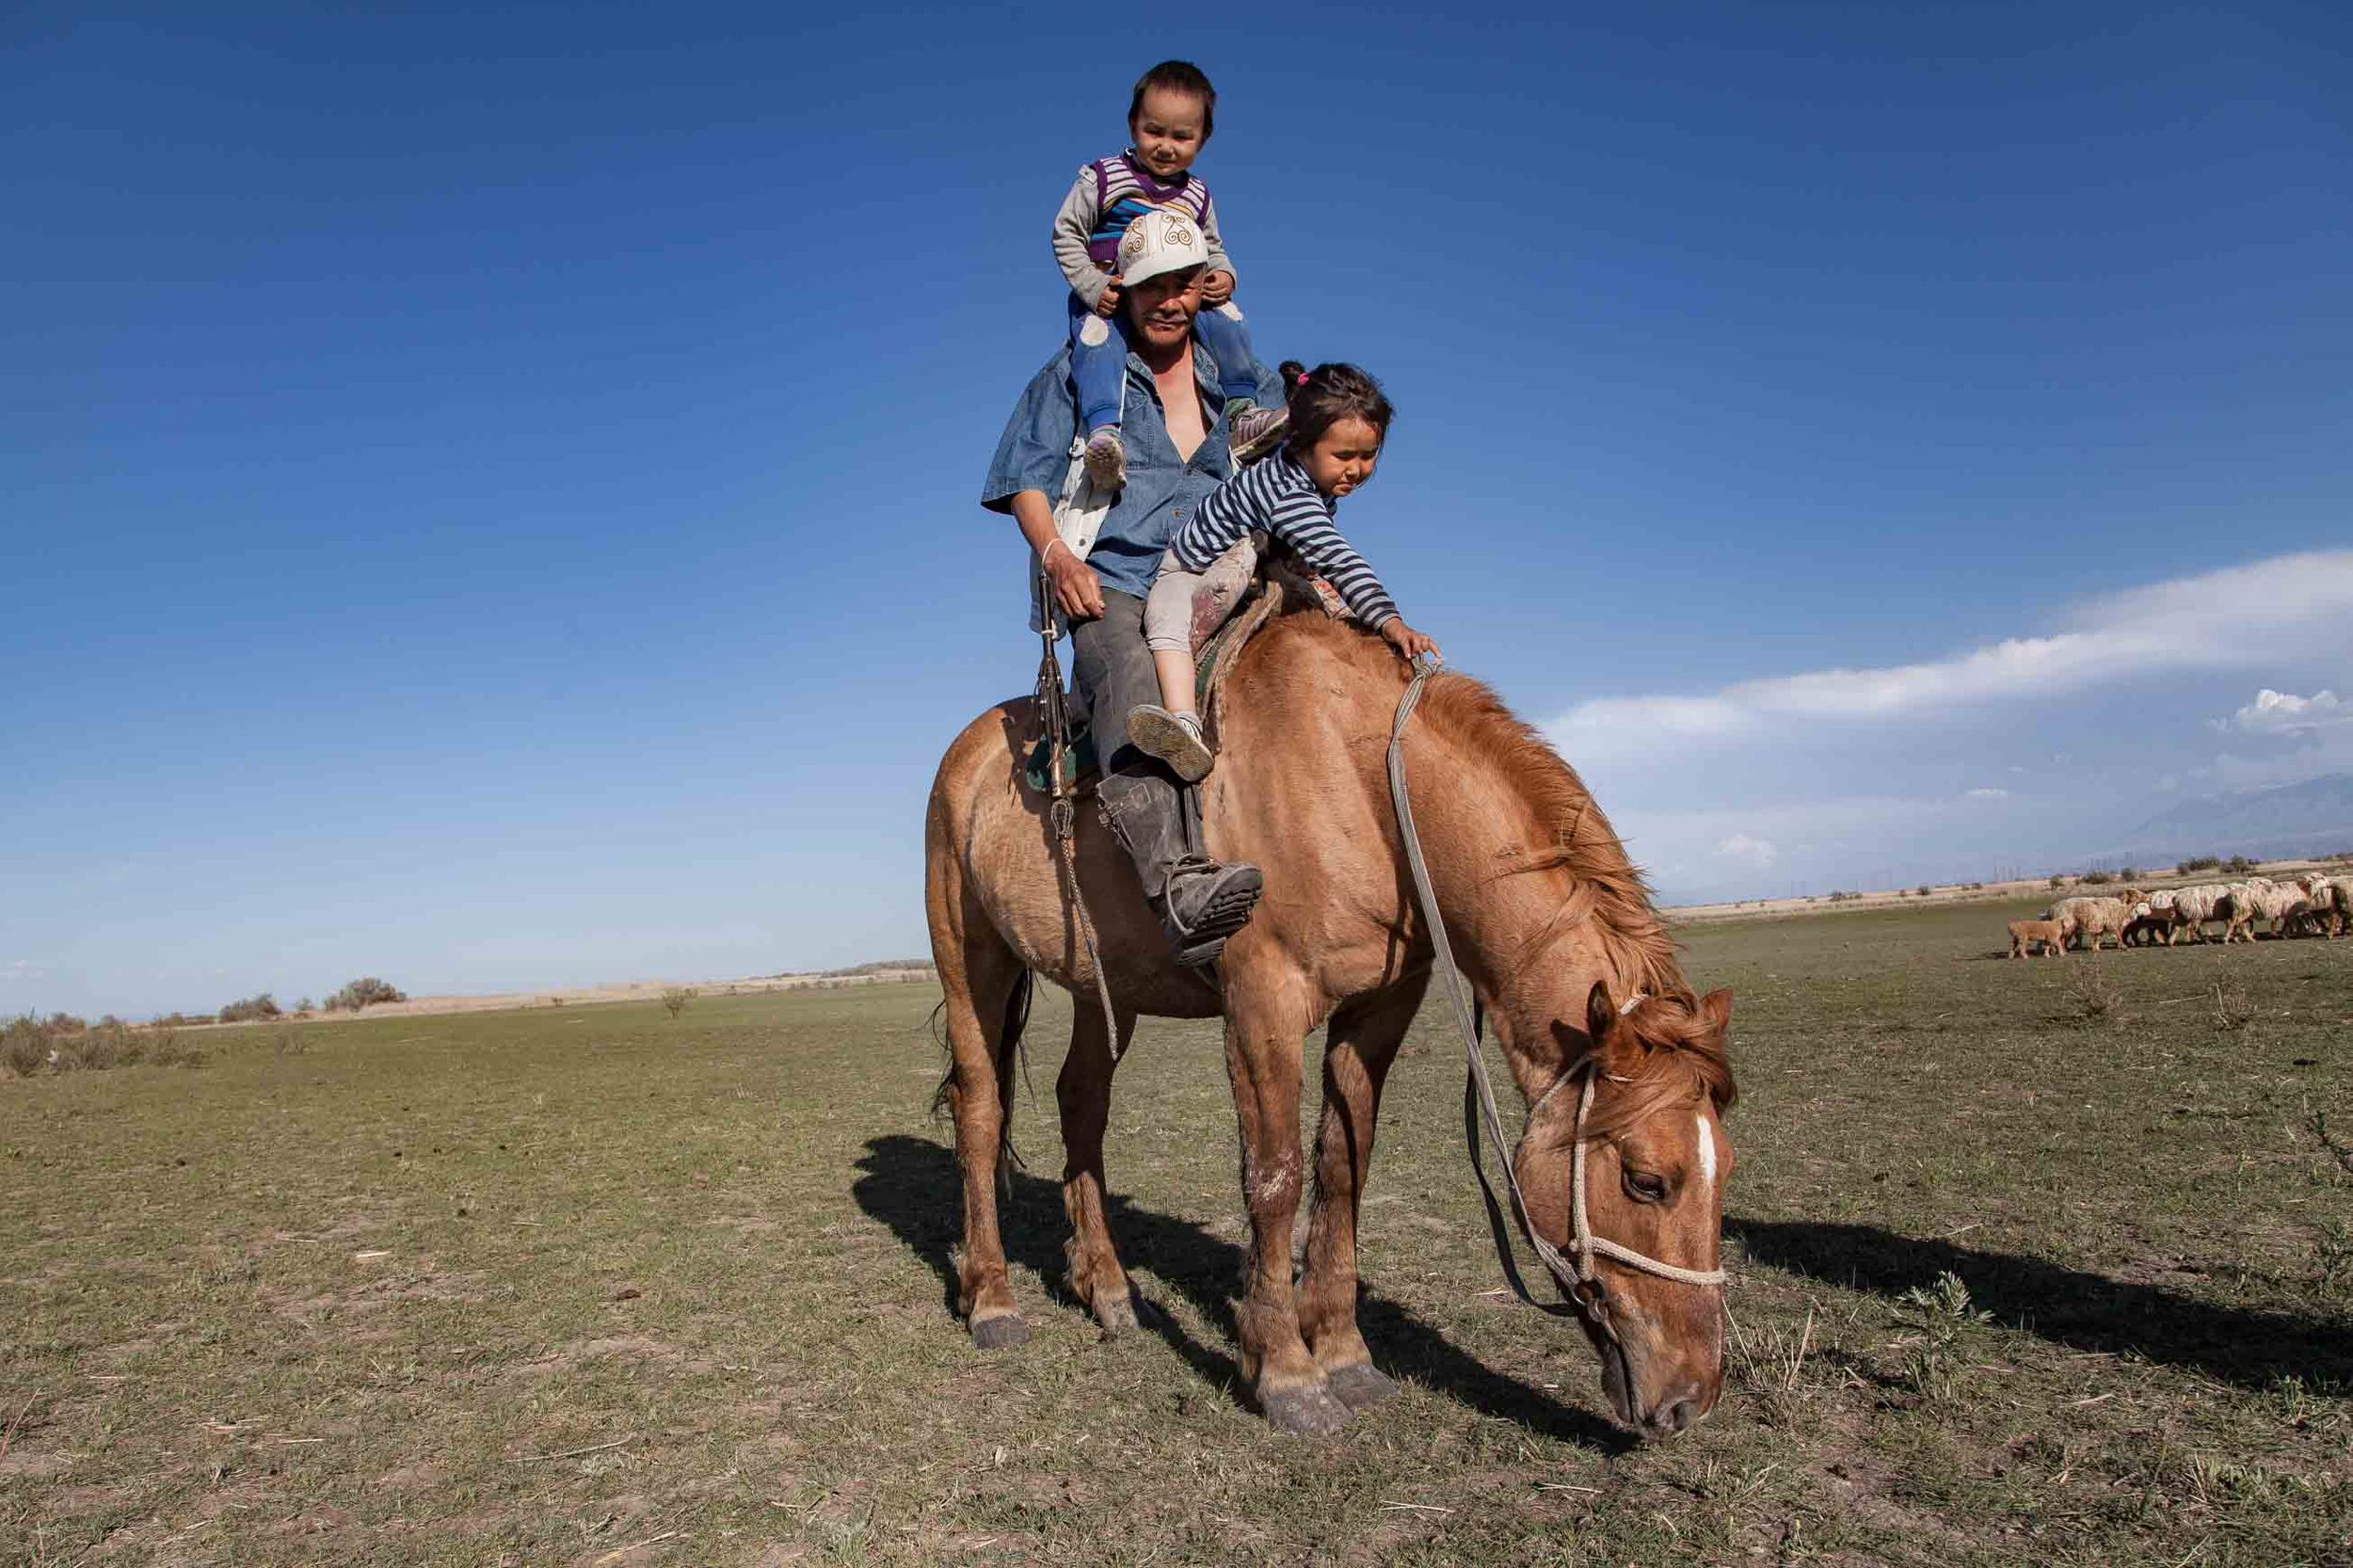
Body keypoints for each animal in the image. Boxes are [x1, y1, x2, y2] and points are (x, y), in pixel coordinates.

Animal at [923, 611, 1737, 1439]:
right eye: (1646, 1181)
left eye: (1725, 1170)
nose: (1691, 1396)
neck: (1364, 787)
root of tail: (967, 754)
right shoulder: (1263, 1003)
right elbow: (1275, 1176)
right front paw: (1286, 1372)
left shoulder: (1382, 1006)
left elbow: (1344, 1165)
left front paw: (1344, 1354)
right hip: (971, 961)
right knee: (980, 1110)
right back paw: (992, 1301)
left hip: (1100, 987)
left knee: (1081, 1104)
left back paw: (1108, 1289)